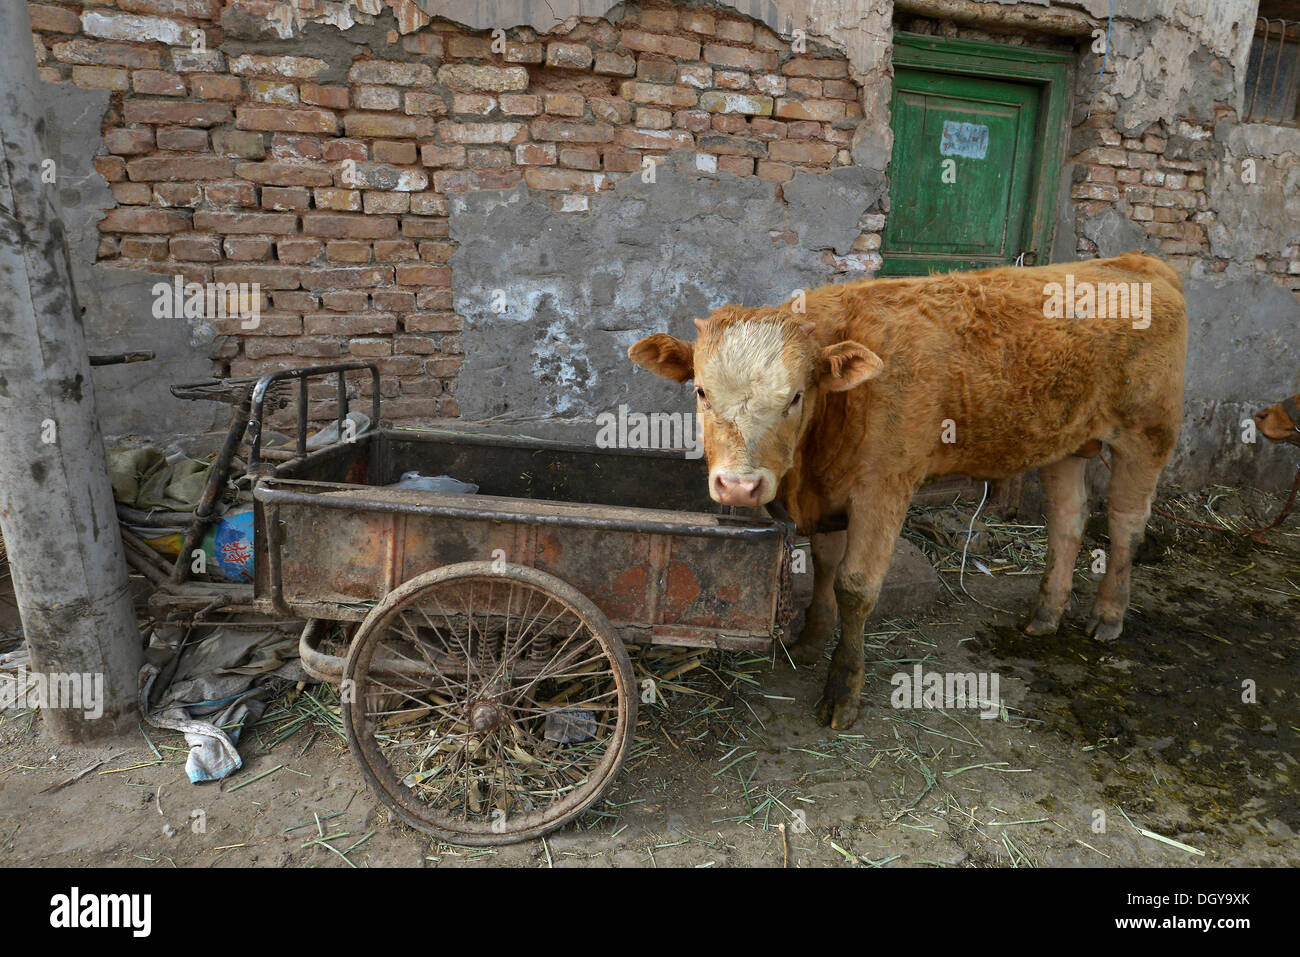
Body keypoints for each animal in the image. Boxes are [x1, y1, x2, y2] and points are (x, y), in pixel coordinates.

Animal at [629, 252, 1187, 729]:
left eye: (795, 397)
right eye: (701, 390)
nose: (740, 485)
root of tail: (1138, 263)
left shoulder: (884, 488)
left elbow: (855, 586)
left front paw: (843, 690)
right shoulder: (832, 493)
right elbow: (826, 566)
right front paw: (809, 640)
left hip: (1146, 435)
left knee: (1125, 525)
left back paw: (1108, 616)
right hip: (1066, 446)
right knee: (1069, 525)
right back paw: (1046, 614)